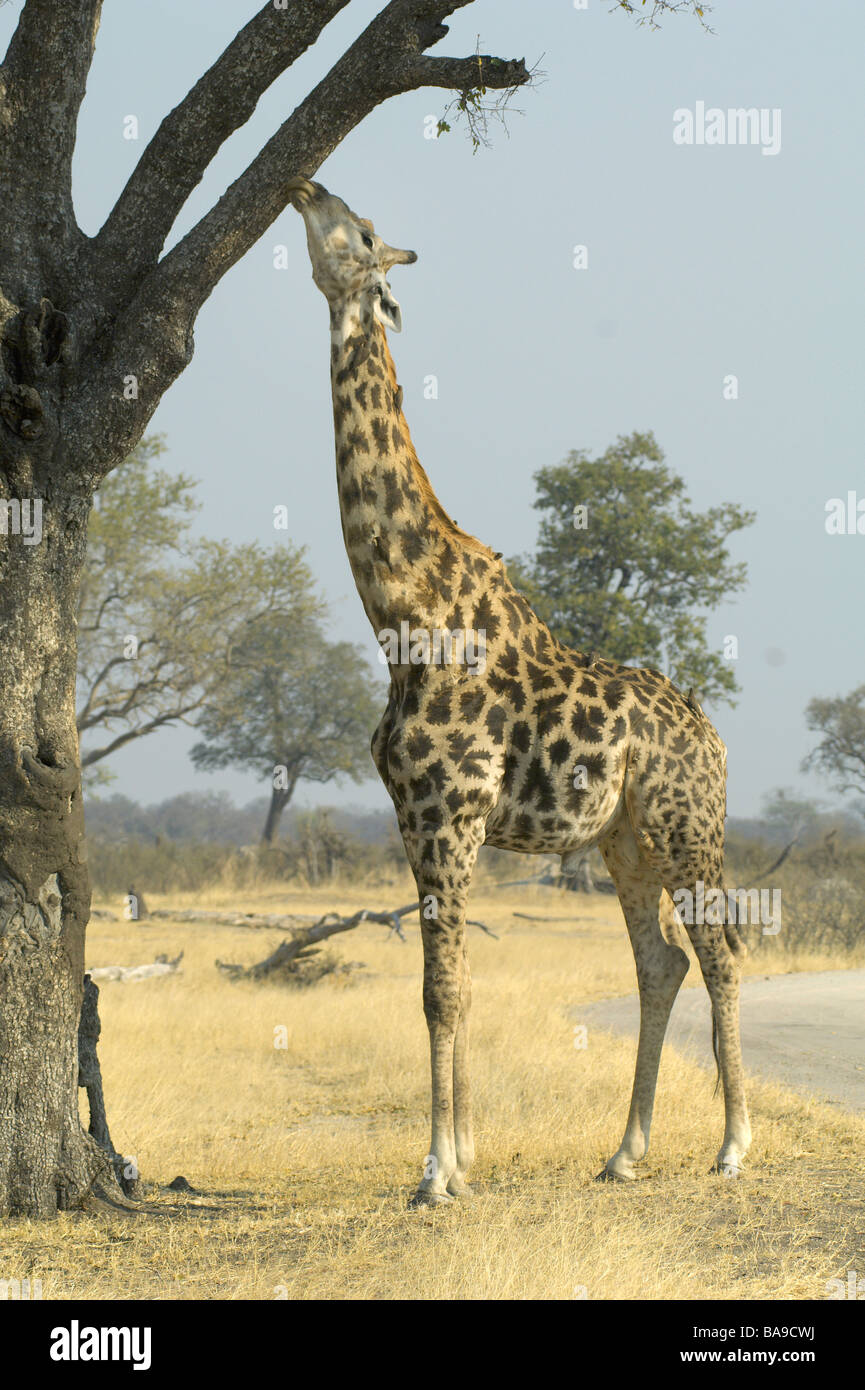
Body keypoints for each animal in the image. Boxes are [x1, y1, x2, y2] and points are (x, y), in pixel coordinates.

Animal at [286, 177, 751, 1207]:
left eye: (363, 233)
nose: (306, 184)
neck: (400, 611)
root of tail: (714, 737)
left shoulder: (451, 811)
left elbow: (442, 987)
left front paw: (435, 1174)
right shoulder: (416, 816)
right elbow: (447, 985)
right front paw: (460, 1162)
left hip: (687, 826)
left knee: (721, 952)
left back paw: (734, 1145)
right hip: (625, 840)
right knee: (660, 960)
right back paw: (624, 1152)